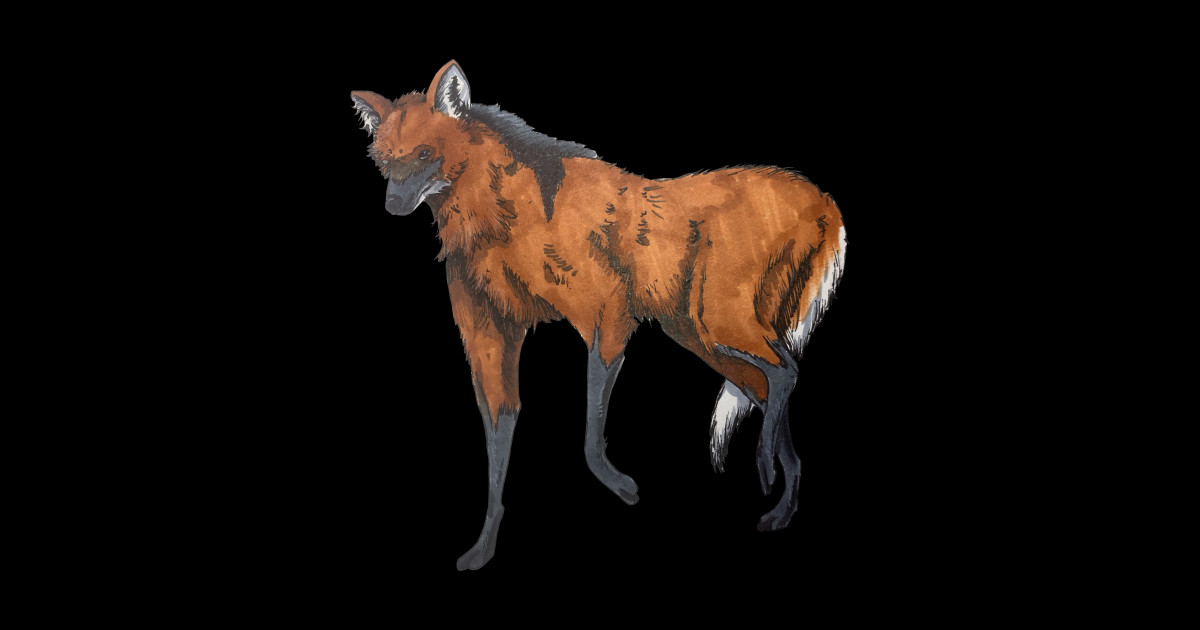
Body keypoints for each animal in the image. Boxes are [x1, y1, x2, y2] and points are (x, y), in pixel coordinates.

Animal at [351, 60, 846, 570]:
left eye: (425, 153)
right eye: (384, 162)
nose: (392, 205)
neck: (502, 219)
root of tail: (822, 194)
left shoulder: (606, 315)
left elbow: (590, 439)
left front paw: (621, 486)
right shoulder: (491, 336)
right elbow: (499, 442)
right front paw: (484, 547)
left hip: (717, 327)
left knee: (786, 372)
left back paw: (767, 472)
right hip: (704, 338)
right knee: (775, 400)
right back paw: (782, 511)